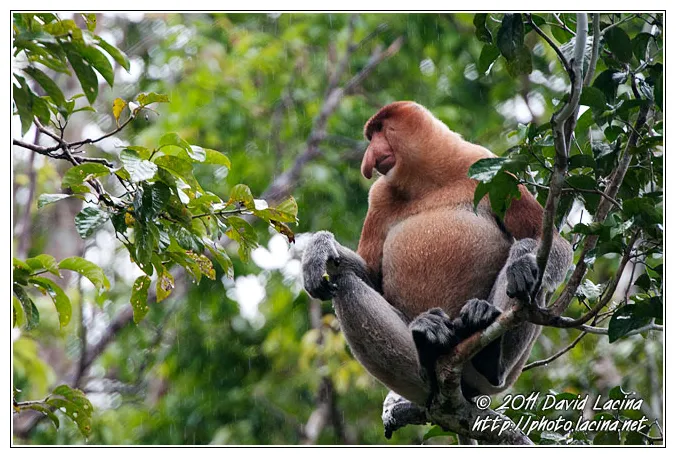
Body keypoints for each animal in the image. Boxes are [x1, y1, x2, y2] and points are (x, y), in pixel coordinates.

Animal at [302, 101, 572, 407]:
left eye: (380, 130)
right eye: (371, 135)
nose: (367, 160)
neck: (430, 179)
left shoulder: (493, 169)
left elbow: (547, 239)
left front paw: (522, 266)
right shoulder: (379, 196)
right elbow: (371, 276)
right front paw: (319, 251)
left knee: (528, 260)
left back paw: (488, 350)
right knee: (346, 283)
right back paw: (427, 346)